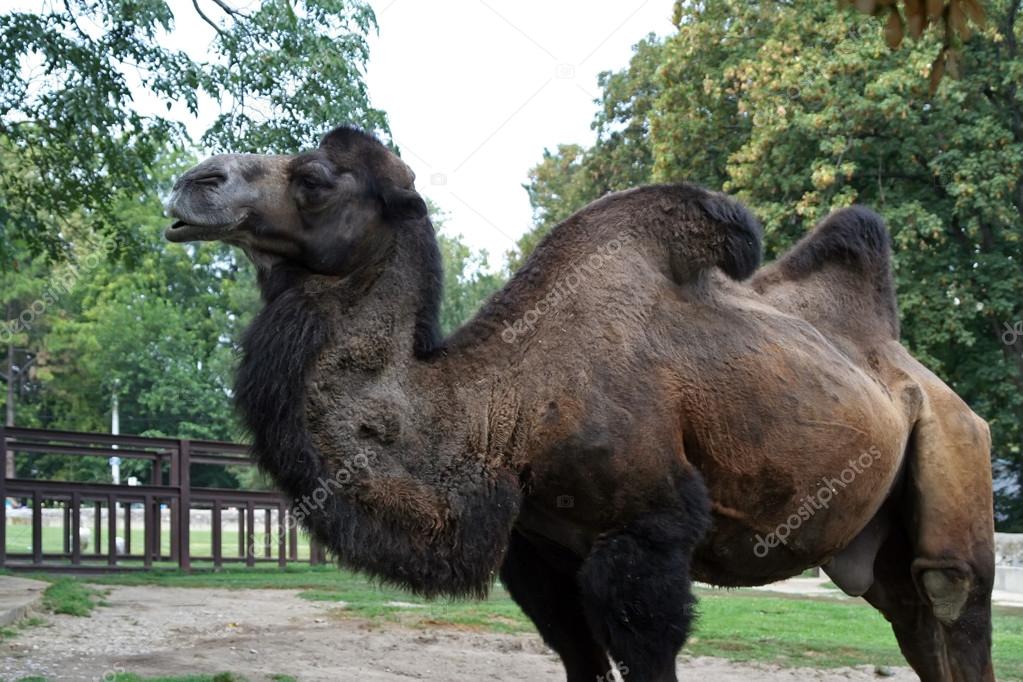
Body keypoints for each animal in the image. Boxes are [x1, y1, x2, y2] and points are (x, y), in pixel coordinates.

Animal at [164, 126, 995, 682]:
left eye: (312, 177)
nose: (192, 181)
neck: (502, 407)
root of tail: (913, 371)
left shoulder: (646, 531)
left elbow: (647, 643)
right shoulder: (536, 553)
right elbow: (576, 653)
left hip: (955, 450)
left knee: (950, 595)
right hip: (879, 537)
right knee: (912, 619)